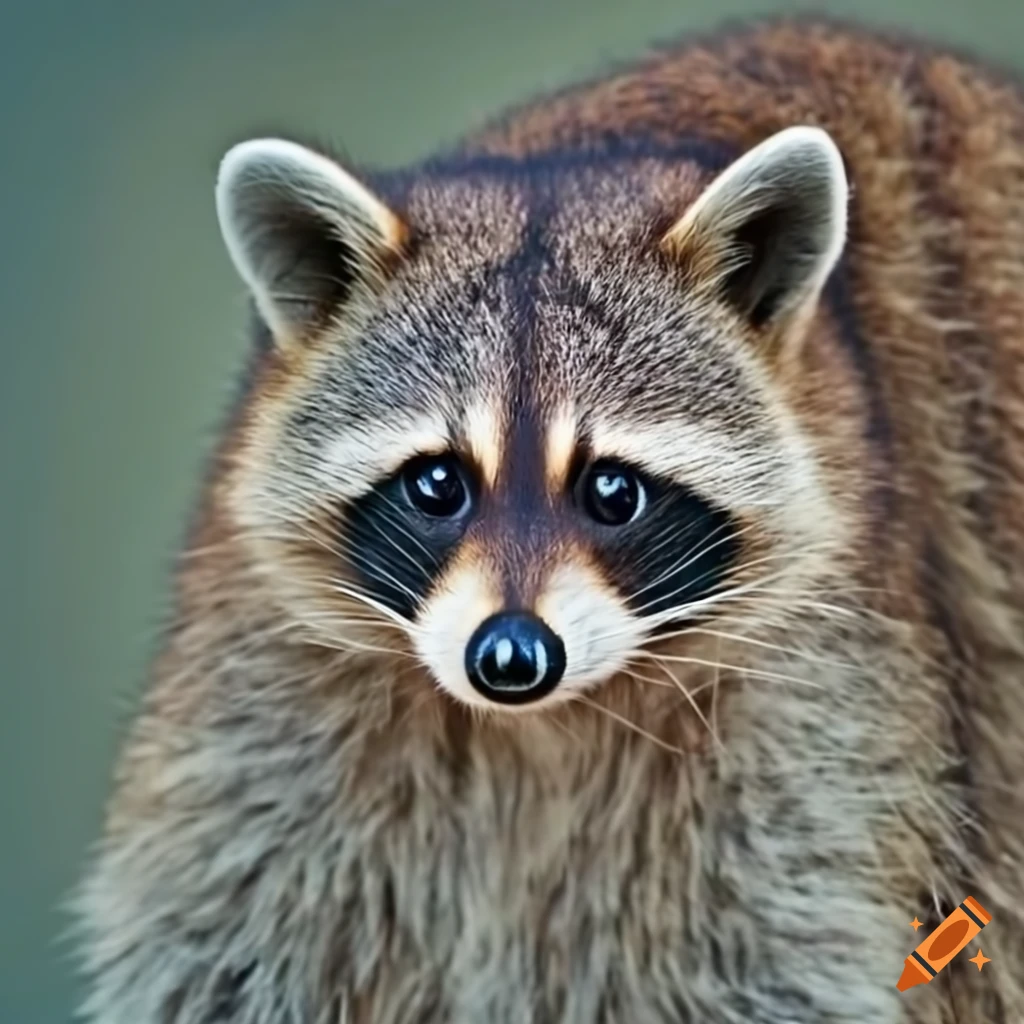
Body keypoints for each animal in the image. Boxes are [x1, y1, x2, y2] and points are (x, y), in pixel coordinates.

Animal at [76, 17, 1024, 1024]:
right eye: (437, 484)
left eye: (613, 492)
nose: (510, 656)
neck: (532, 731)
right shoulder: (267, 694)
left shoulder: (827, 702)